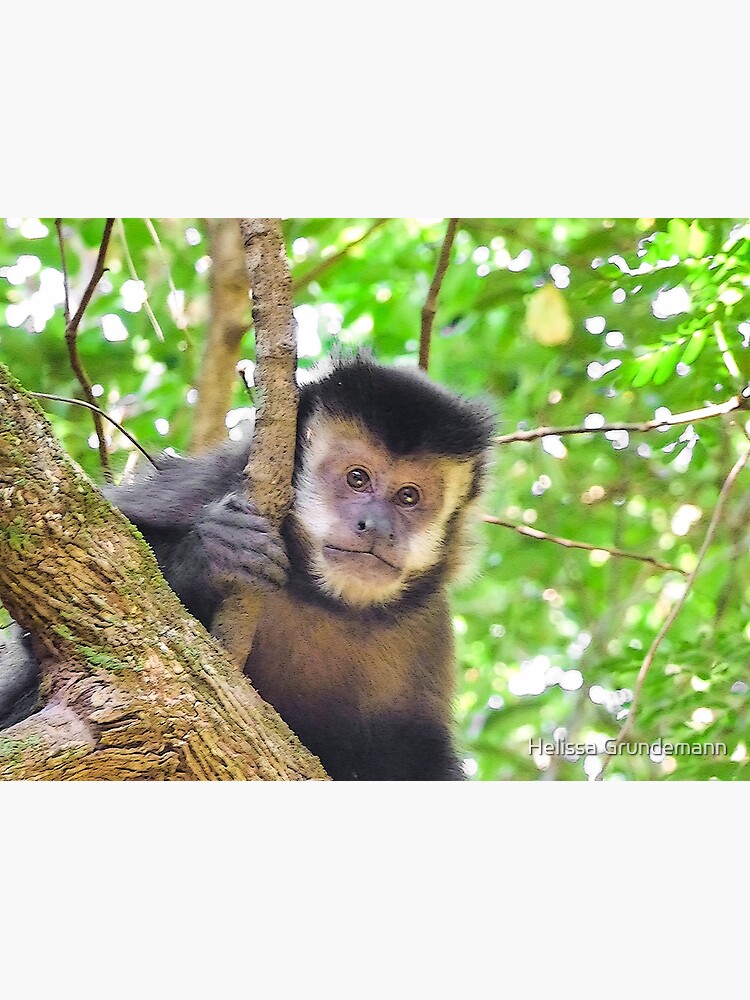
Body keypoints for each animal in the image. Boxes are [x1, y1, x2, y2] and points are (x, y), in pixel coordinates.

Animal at [0, 355, 494, 780]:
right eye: (358, 478)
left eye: (408, 497)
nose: (376, 526)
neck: (322, 597)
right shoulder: (221, 479)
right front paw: (214, 555)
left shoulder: (426, 622)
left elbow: (414, 749)